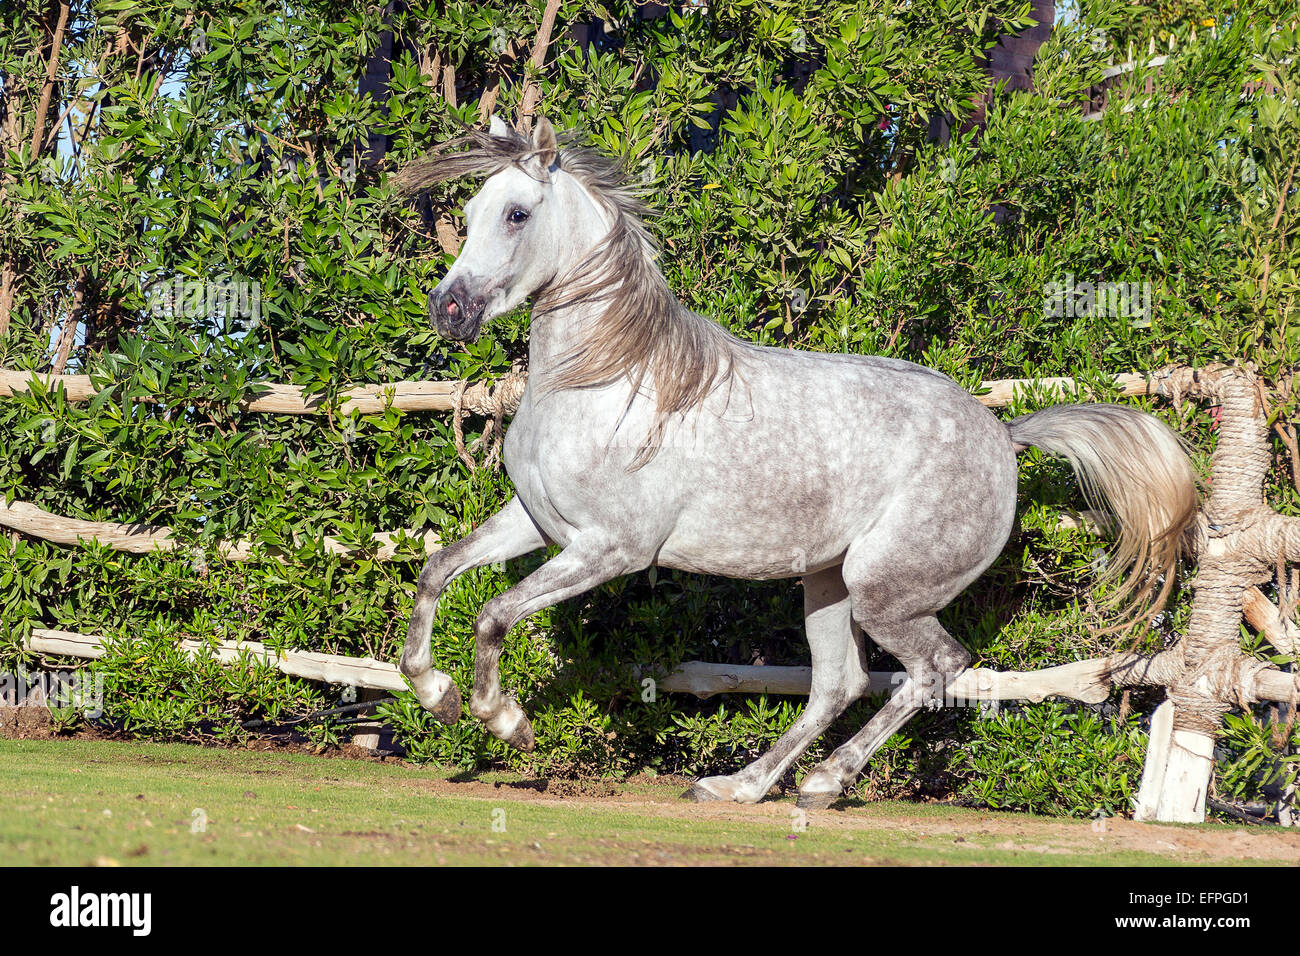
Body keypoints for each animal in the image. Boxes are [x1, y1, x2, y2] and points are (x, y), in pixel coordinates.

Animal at [393, 115, 1198, 809]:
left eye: (517, 215)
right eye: (471, 209)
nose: (448, 310)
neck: (605, 380)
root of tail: (1003, 437)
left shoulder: (610, 550)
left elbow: (494, 614)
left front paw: (504, 720)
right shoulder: (538, 525)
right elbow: (437, 570)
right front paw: (437, 695)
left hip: (882, 590)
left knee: (933, 669)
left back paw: (823, 782)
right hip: (827, 581)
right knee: (838, 684)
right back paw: (741, 786)